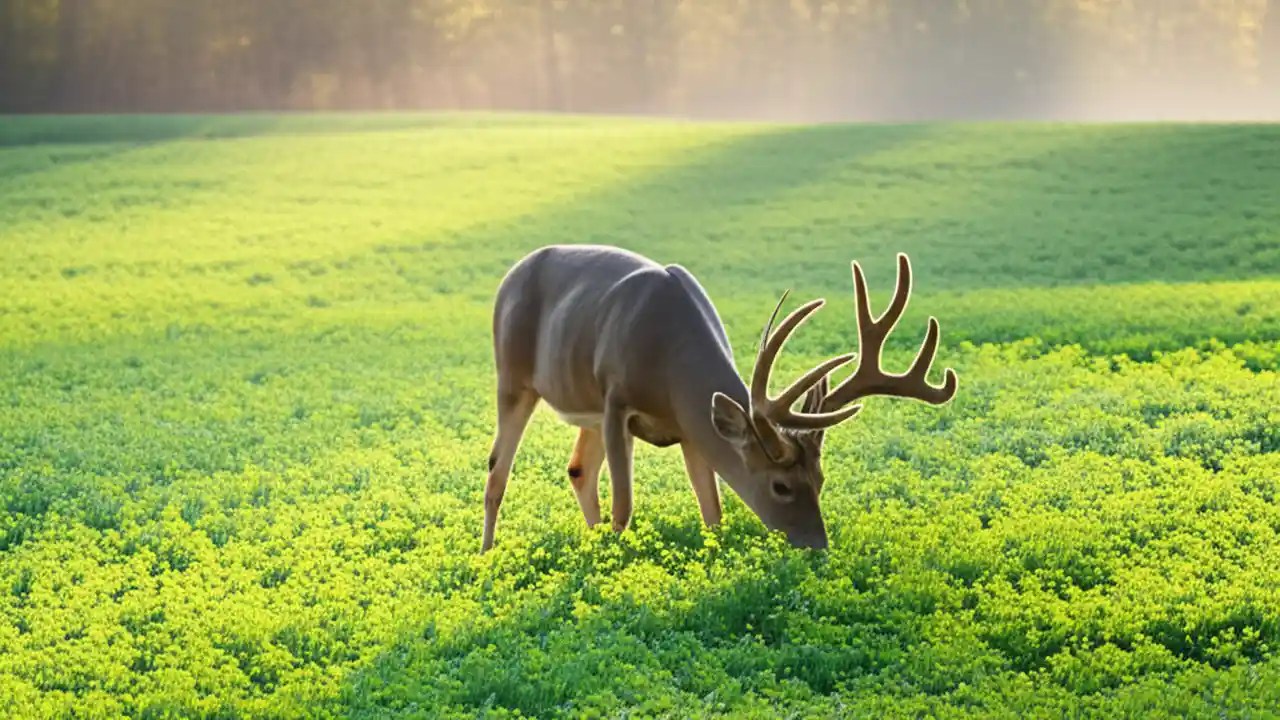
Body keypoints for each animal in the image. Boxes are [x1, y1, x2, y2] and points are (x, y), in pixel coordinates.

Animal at [481, 245, 957, 552]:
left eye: (820, 480)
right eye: (781, 485)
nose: (817, 548)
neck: (667, 359)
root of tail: (510, 275)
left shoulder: (690, 425)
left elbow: (713, 512)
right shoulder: (615, 398)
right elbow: (624, 506)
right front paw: (618, 561)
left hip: (586, 411)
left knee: (578, 470)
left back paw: (590, 545)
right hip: (513, 377)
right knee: (497, 472)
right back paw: (487, 554)